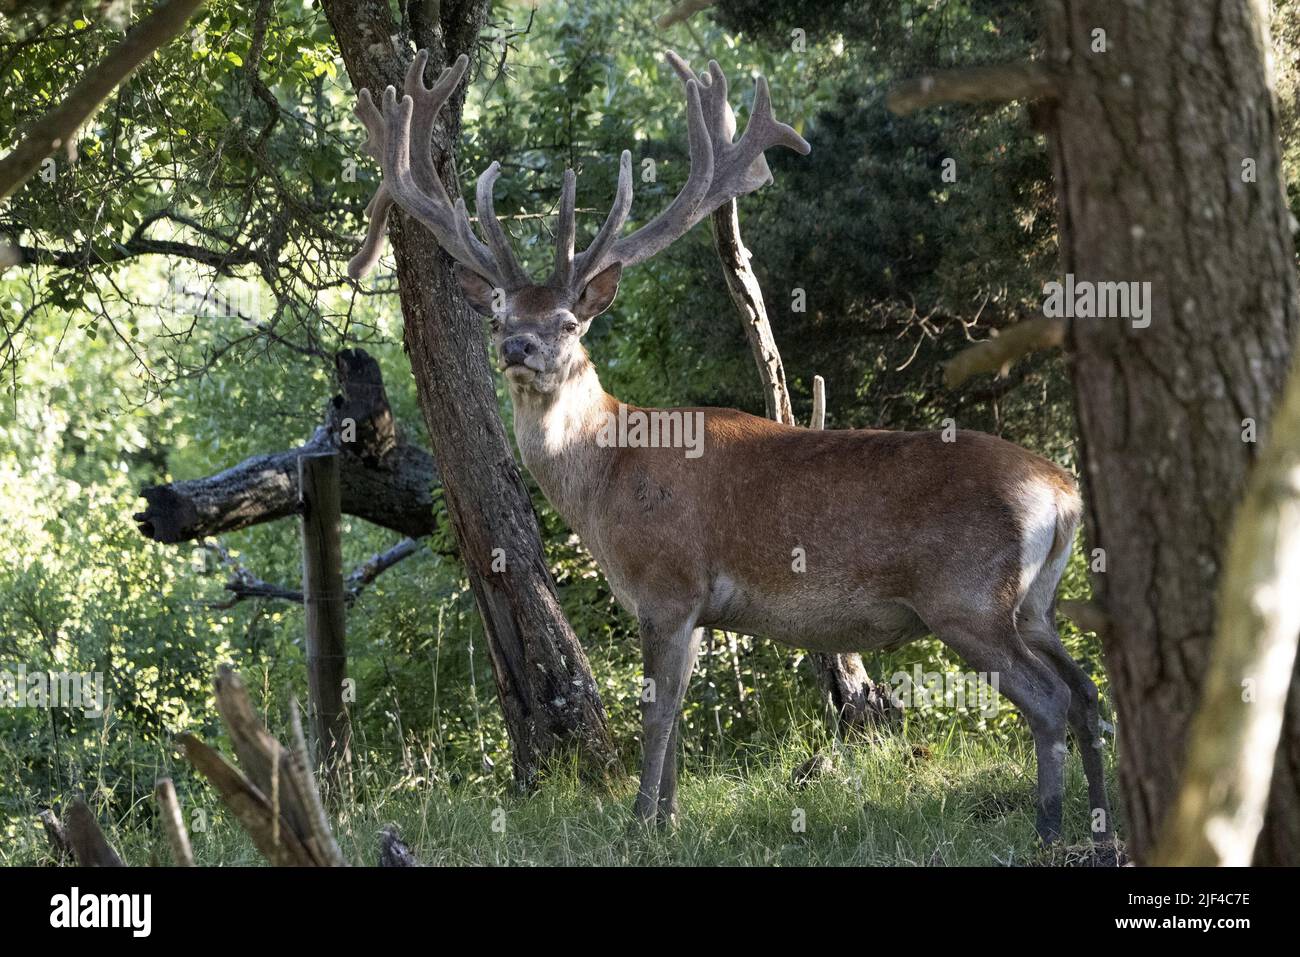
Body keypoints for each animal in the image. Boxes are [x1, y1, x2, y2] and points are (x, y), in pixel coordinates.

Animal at [346, 48, 1111, 845]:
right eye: (499, 314)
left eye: (567, 321)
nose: (517, 347)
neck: (608, 475)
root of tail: (1062, 492)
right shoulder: (695, 609)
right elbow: (680, 712)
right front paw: (670, 816)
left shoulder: (667, 580)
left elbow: (656, 712)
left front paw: (639, 825)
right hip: (1034, 604)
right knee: (1088, 692)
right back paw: (1097, 824)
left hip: (967, 598)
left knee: (1051, 701)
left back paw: (1048, 827)